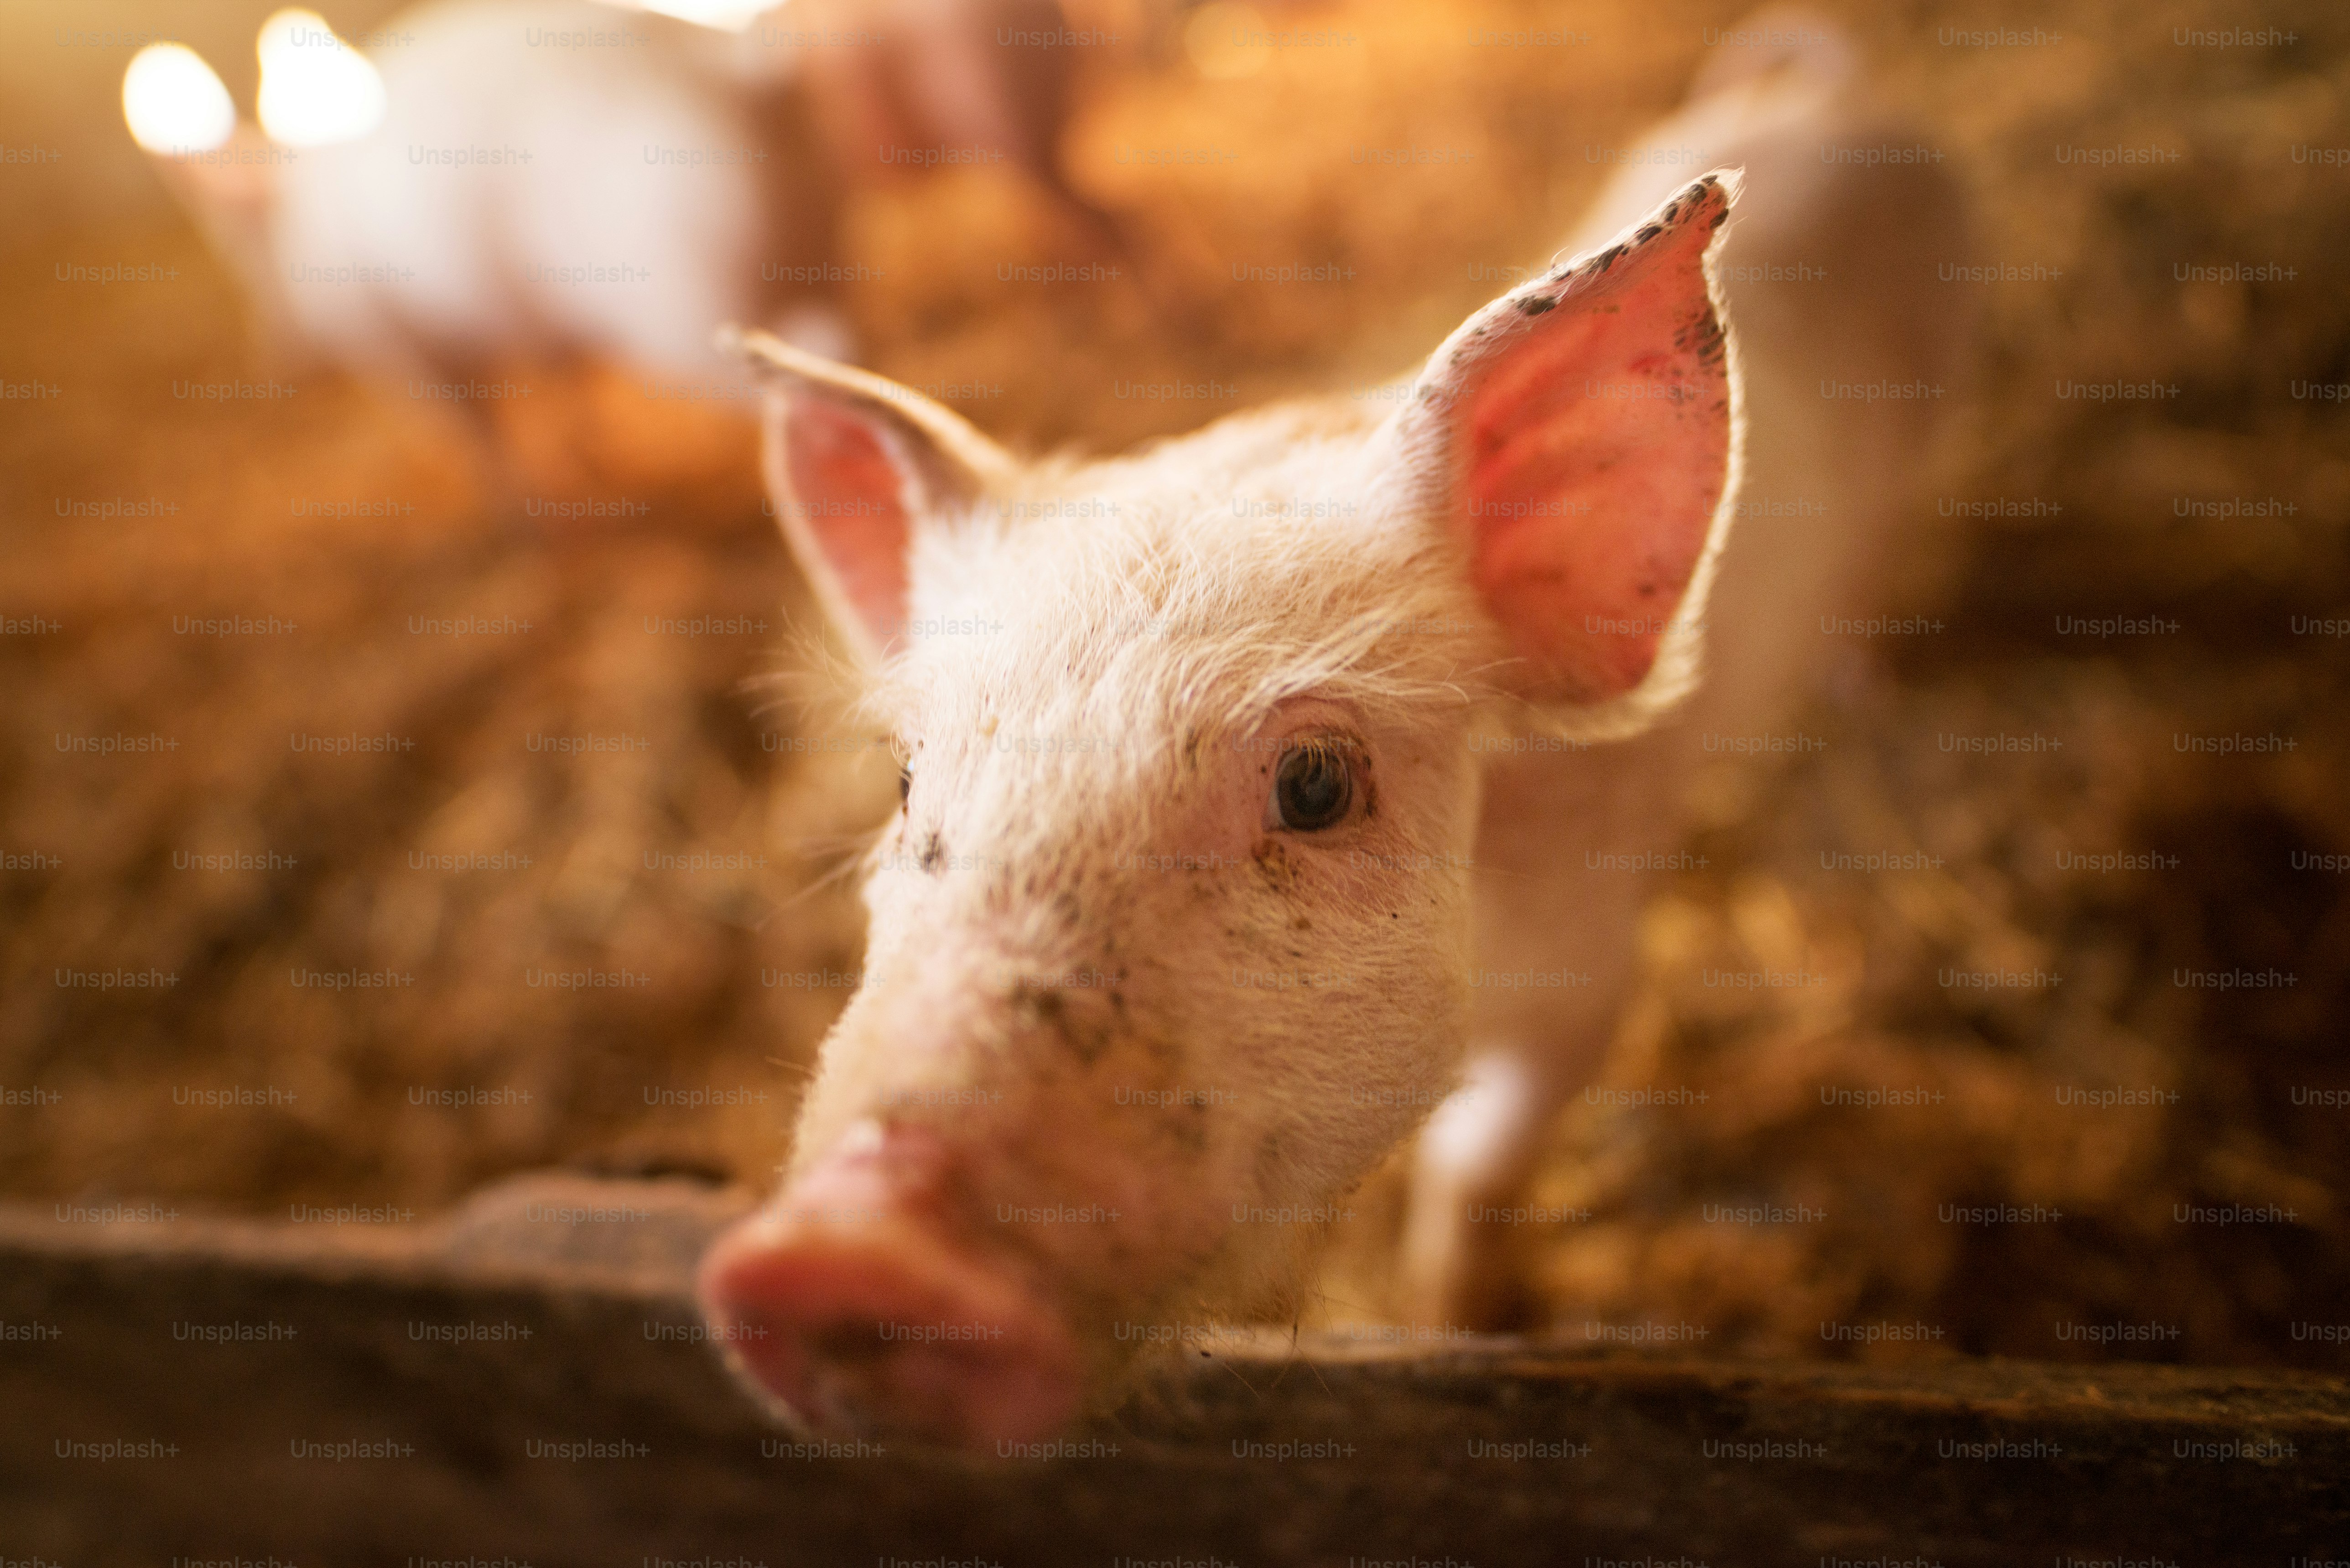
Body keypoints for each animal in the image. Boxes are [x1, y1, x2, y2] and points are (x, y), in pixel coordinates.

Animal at [694, 21, 1969, 1446]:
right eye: (909, 778)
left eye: (1314, 784)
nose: (844, 1250)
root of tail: (1825, 84)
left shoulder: (1589, 972)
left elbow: (1482, 1159)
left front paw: (1456, 1323)